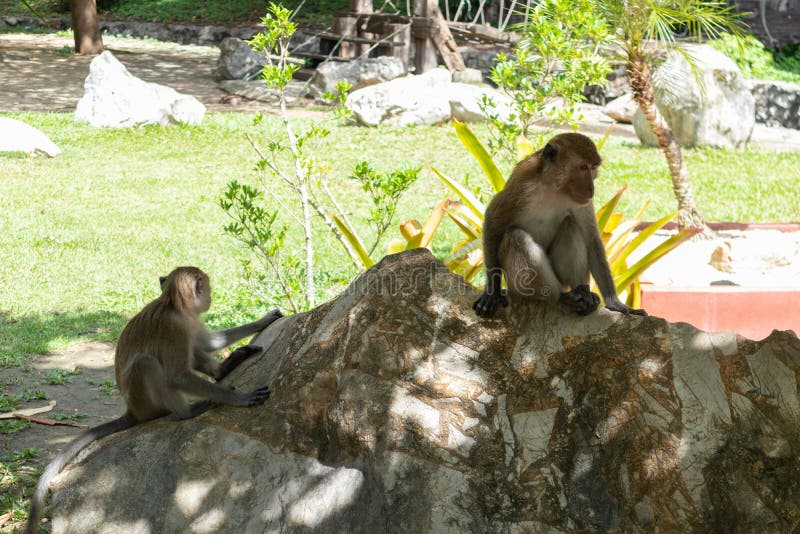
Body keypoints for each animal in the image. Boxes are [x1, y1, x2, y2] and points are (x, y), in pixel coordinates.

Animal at [26, 266, 282, 534]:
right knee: (148, 363)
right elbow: (177, 376)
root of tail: (132, 411)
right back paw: (188, 411)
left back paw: (223, 369)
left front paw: (263, 321)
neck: (174, 306)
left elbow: (209, 343)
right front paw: (238, 397)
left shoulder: (188, 322)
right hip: (146, 401)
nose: (211, 296)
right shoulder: (175, 329)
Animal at [473, 132, 647, 318]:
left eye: (593, 167)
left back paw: (582, 293)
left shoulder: (581, 202)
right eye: (583, 167)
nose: (591, 189)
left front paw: (615, 302)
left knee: (571, 225)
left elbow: (591, 238)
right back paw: (559, 298)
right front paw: (492, 291)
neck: (553, 187)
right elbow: (493, 220)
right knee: (516, 237)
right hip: (517, 285)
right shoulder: (521, 183)